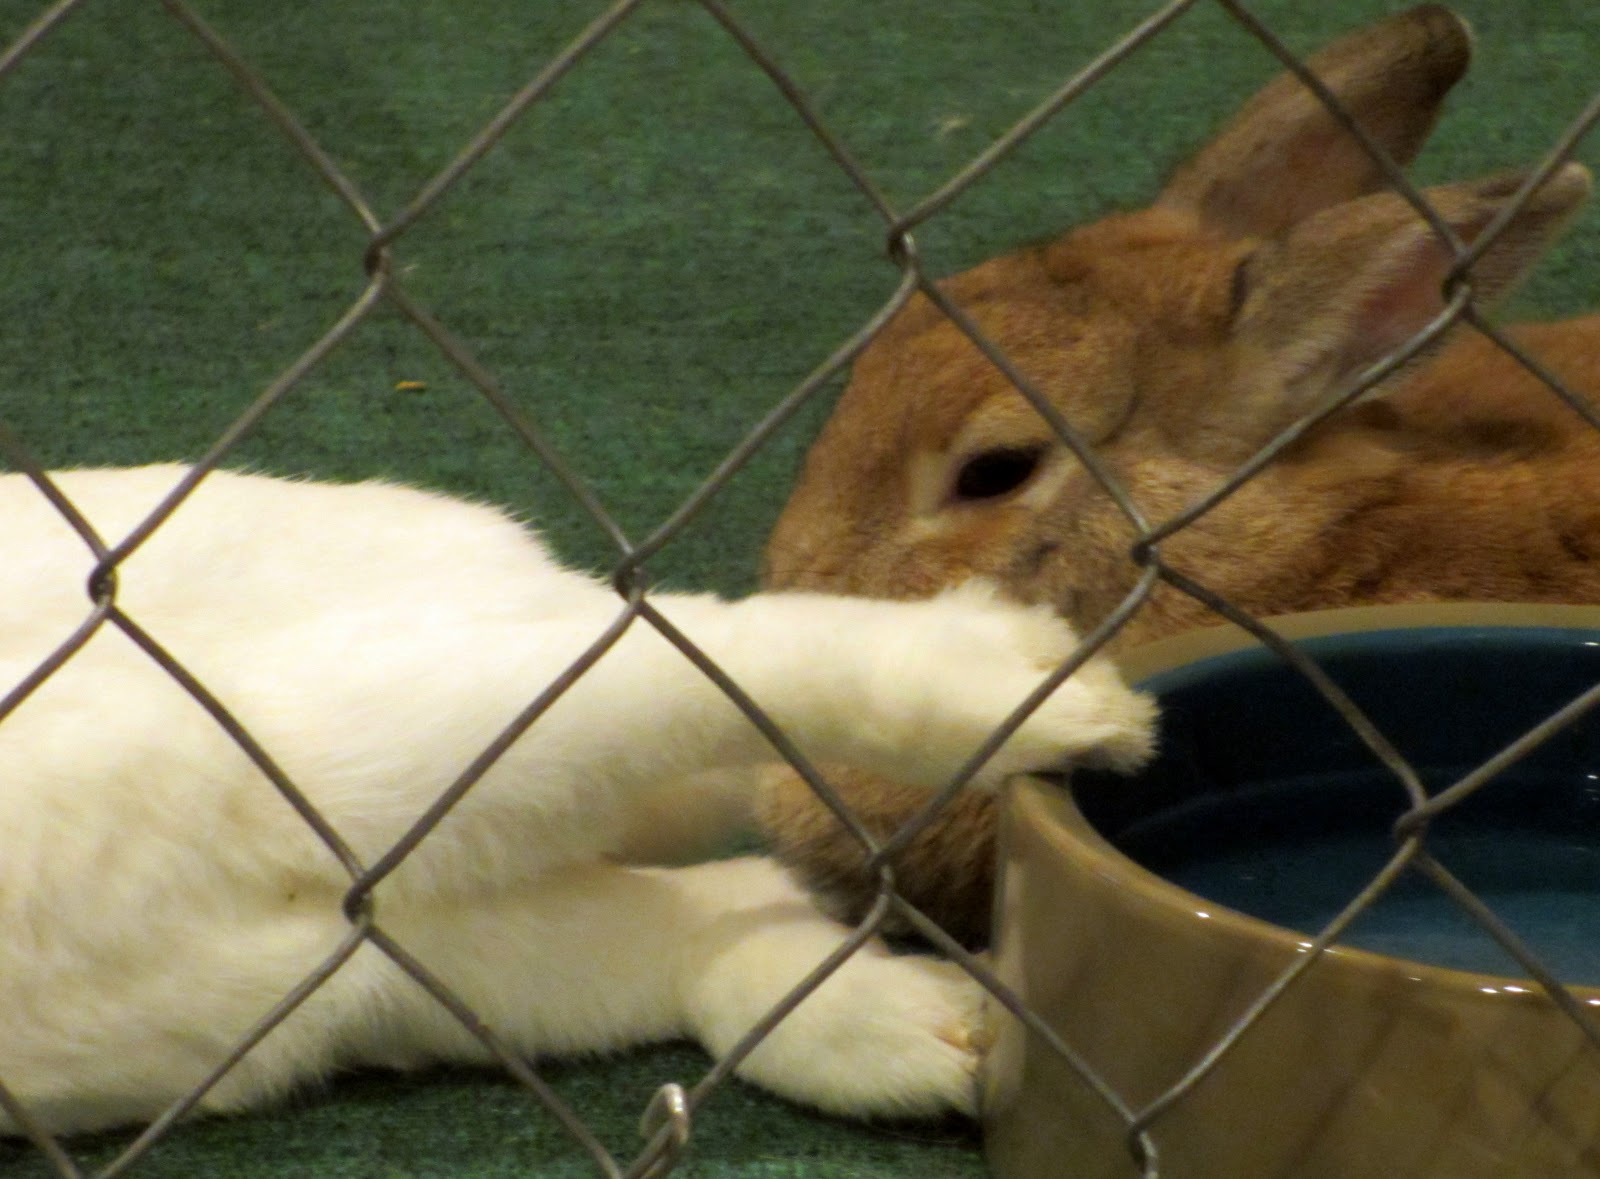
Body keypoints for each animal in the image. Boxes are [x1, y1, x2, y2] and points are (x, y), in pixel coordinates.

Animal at [0, 463, 1155, 1137]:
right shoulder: (365, 962)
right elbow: (630, 951)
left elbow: (713, 671)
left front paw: (1031, 688)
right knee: (688, 860)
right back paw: (919, 1027)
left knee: (682, 662)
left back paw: (1024, 688)